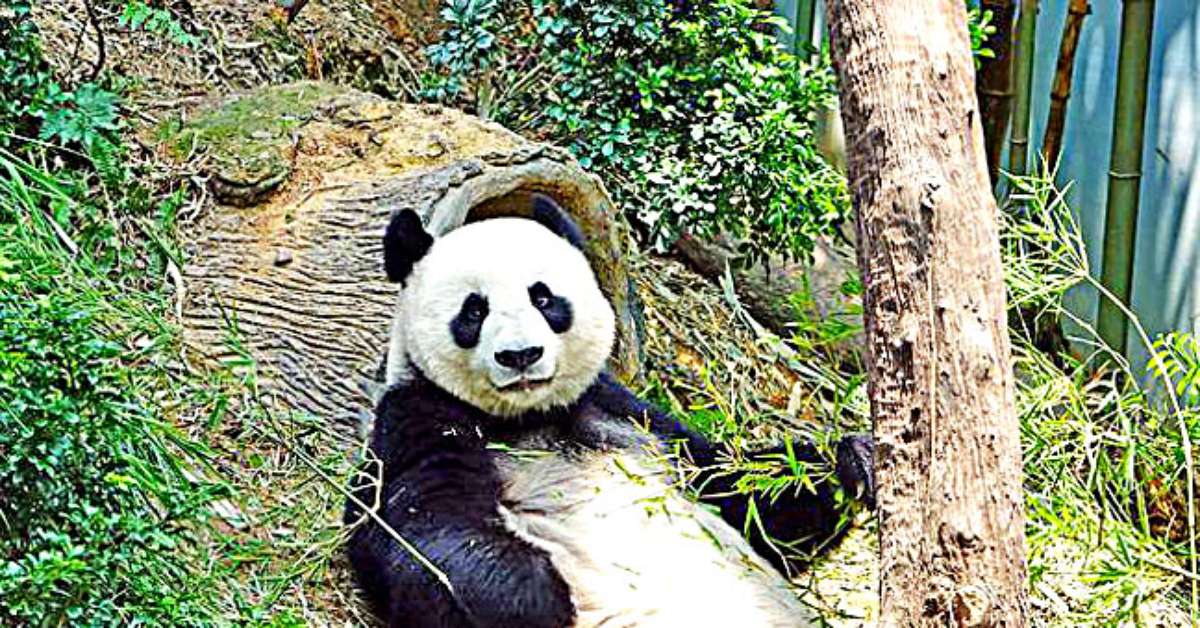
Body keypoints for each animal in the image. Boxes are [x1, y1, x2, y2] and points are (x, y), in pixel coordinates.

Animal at [345, 195, 875, 628]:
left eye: (543, 297)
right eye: (474, 311)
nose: (520, 355)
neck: (527, 416)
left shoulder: (627, 413)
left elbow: (747, 499)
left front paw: (853, 460)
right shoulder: (417, 414)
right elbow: (417, 518)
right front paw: (531, 594)